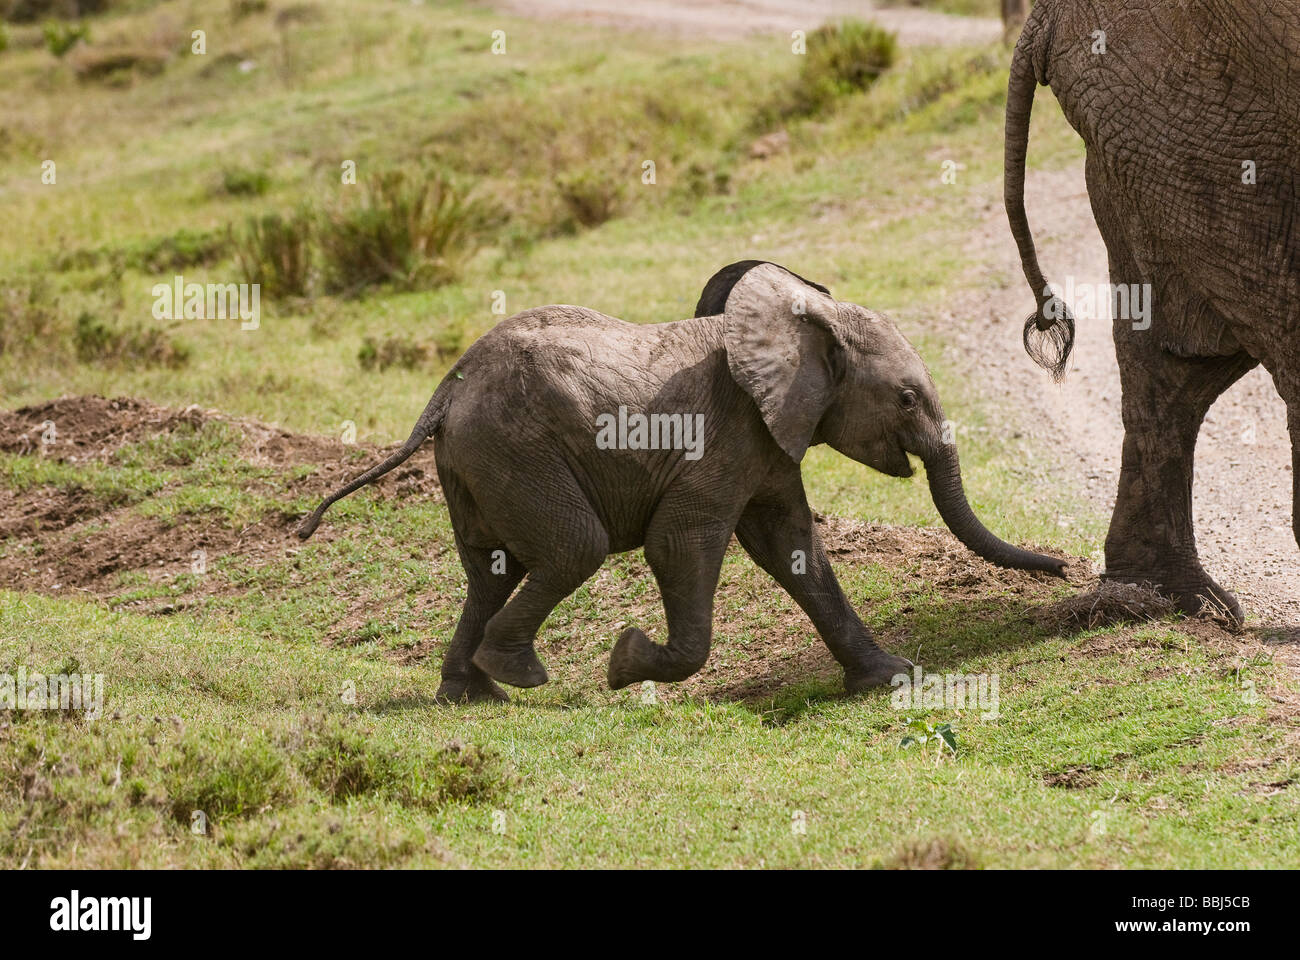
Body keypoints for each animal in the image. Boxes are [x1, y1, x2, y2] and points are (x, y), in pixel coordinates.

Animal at [297, 261, 1065, 702]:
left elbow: (793, 546)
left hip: (478, 464)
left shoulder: (768, 443)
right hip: (513, 451)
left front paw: (890, 678)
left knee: (491, 568)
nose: (1061, 566)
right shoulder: (725, 438)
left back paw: (473, 695)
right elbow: (680, 541)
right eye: (906, 398)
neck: (798, 330)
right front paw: (624, 663)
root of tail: (447, 390)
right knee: (573, 547)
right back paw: (520, 676)